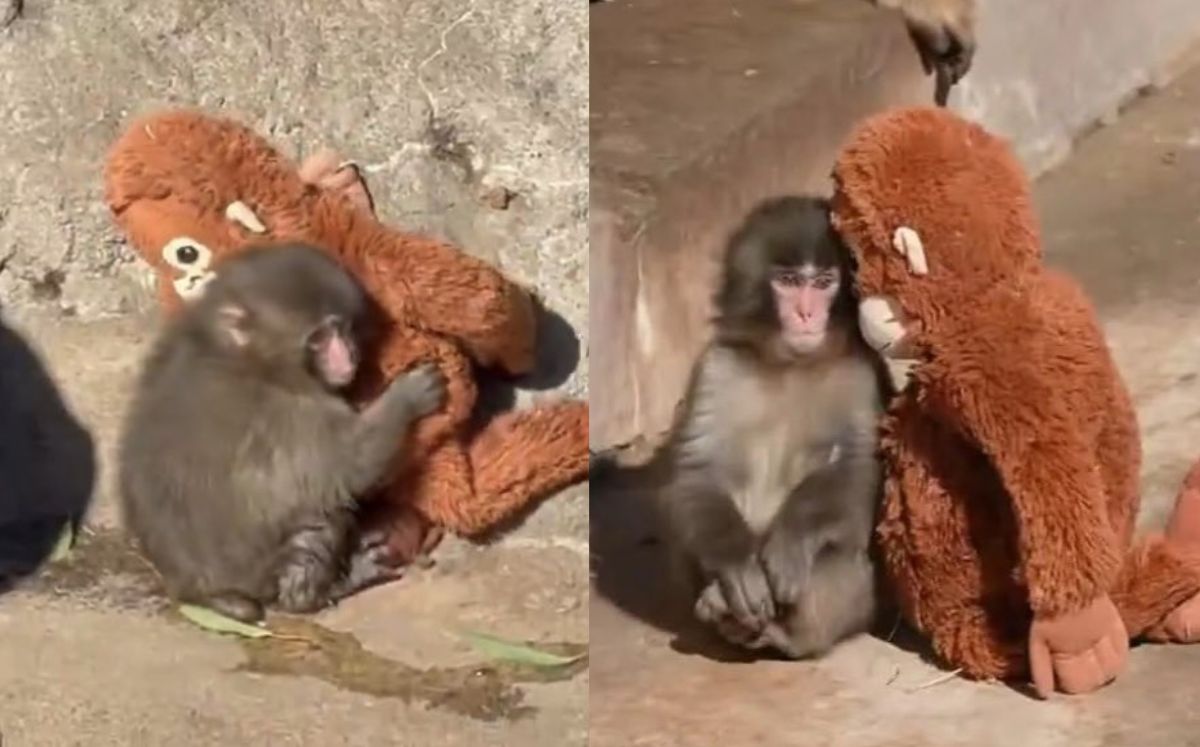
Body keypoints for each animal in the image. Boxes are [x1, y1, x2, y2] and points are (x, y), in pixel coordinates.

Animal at [117, 243, 446, 623]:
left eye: (342, 328)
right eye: (319, 338)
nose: (348, 357)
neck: (243, 356)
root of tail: (195, 590)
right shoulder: (290, 412)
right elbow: (350, 464)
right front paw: (408, 396)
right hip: (260, 571)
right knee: (318, 518)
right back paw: (319, 592)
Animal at [657, 195, 886, 660]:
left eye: (823, 282)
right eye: (788, 281)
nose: (806, 313)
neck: (790, 365)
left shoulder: (860, 374)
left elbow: (857, 470)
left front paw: (791, 541)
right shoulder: (718, 368)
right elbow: (698, 472)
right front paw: (737, 563)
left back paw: (786, 635)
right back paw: (720, 604)